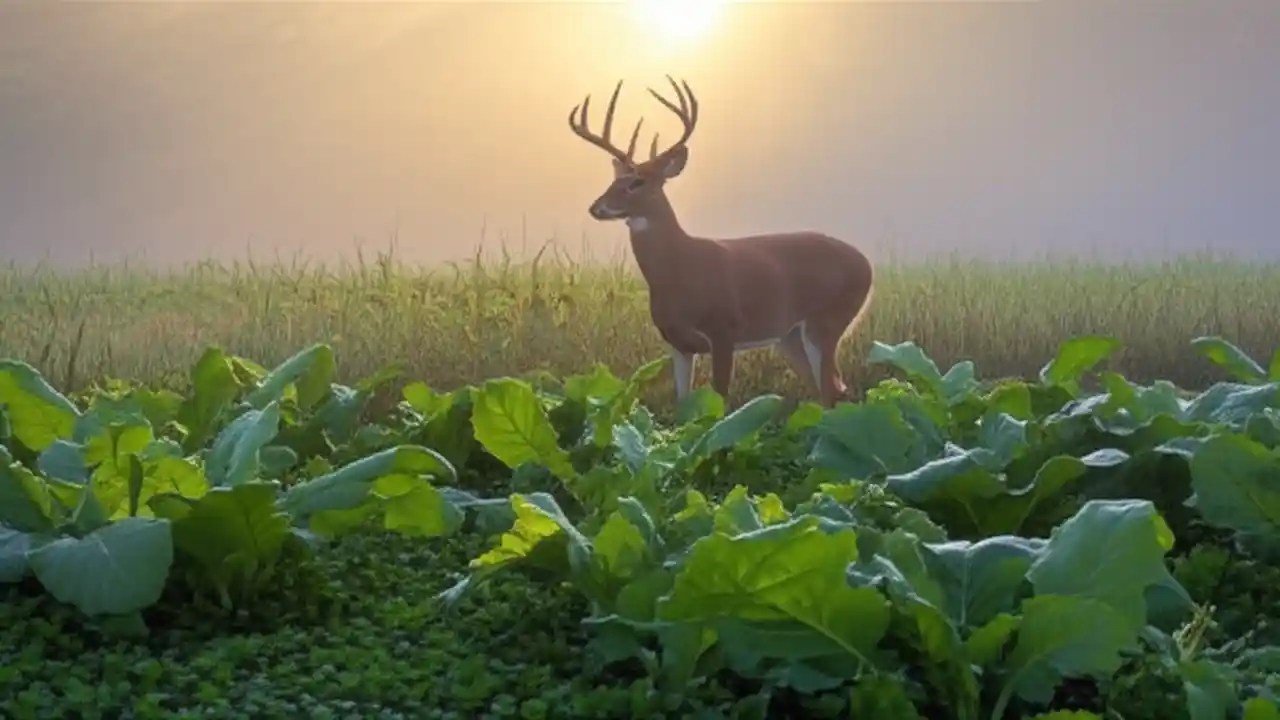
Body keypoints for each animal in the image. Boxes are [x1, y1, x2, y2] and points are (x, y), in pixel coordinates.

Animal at [567, 76, 875, 408]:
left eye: (637, 182)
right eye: (614, 180)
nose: (596, 207)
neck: (678, 270)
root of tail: (866, 263)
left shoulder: (724, 330)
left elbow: (721, 403)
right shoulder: (678, 342)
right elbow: (683, 406)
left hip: (828, 318)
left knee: (831, 392)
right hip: (789, 336)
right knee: (831, 391)